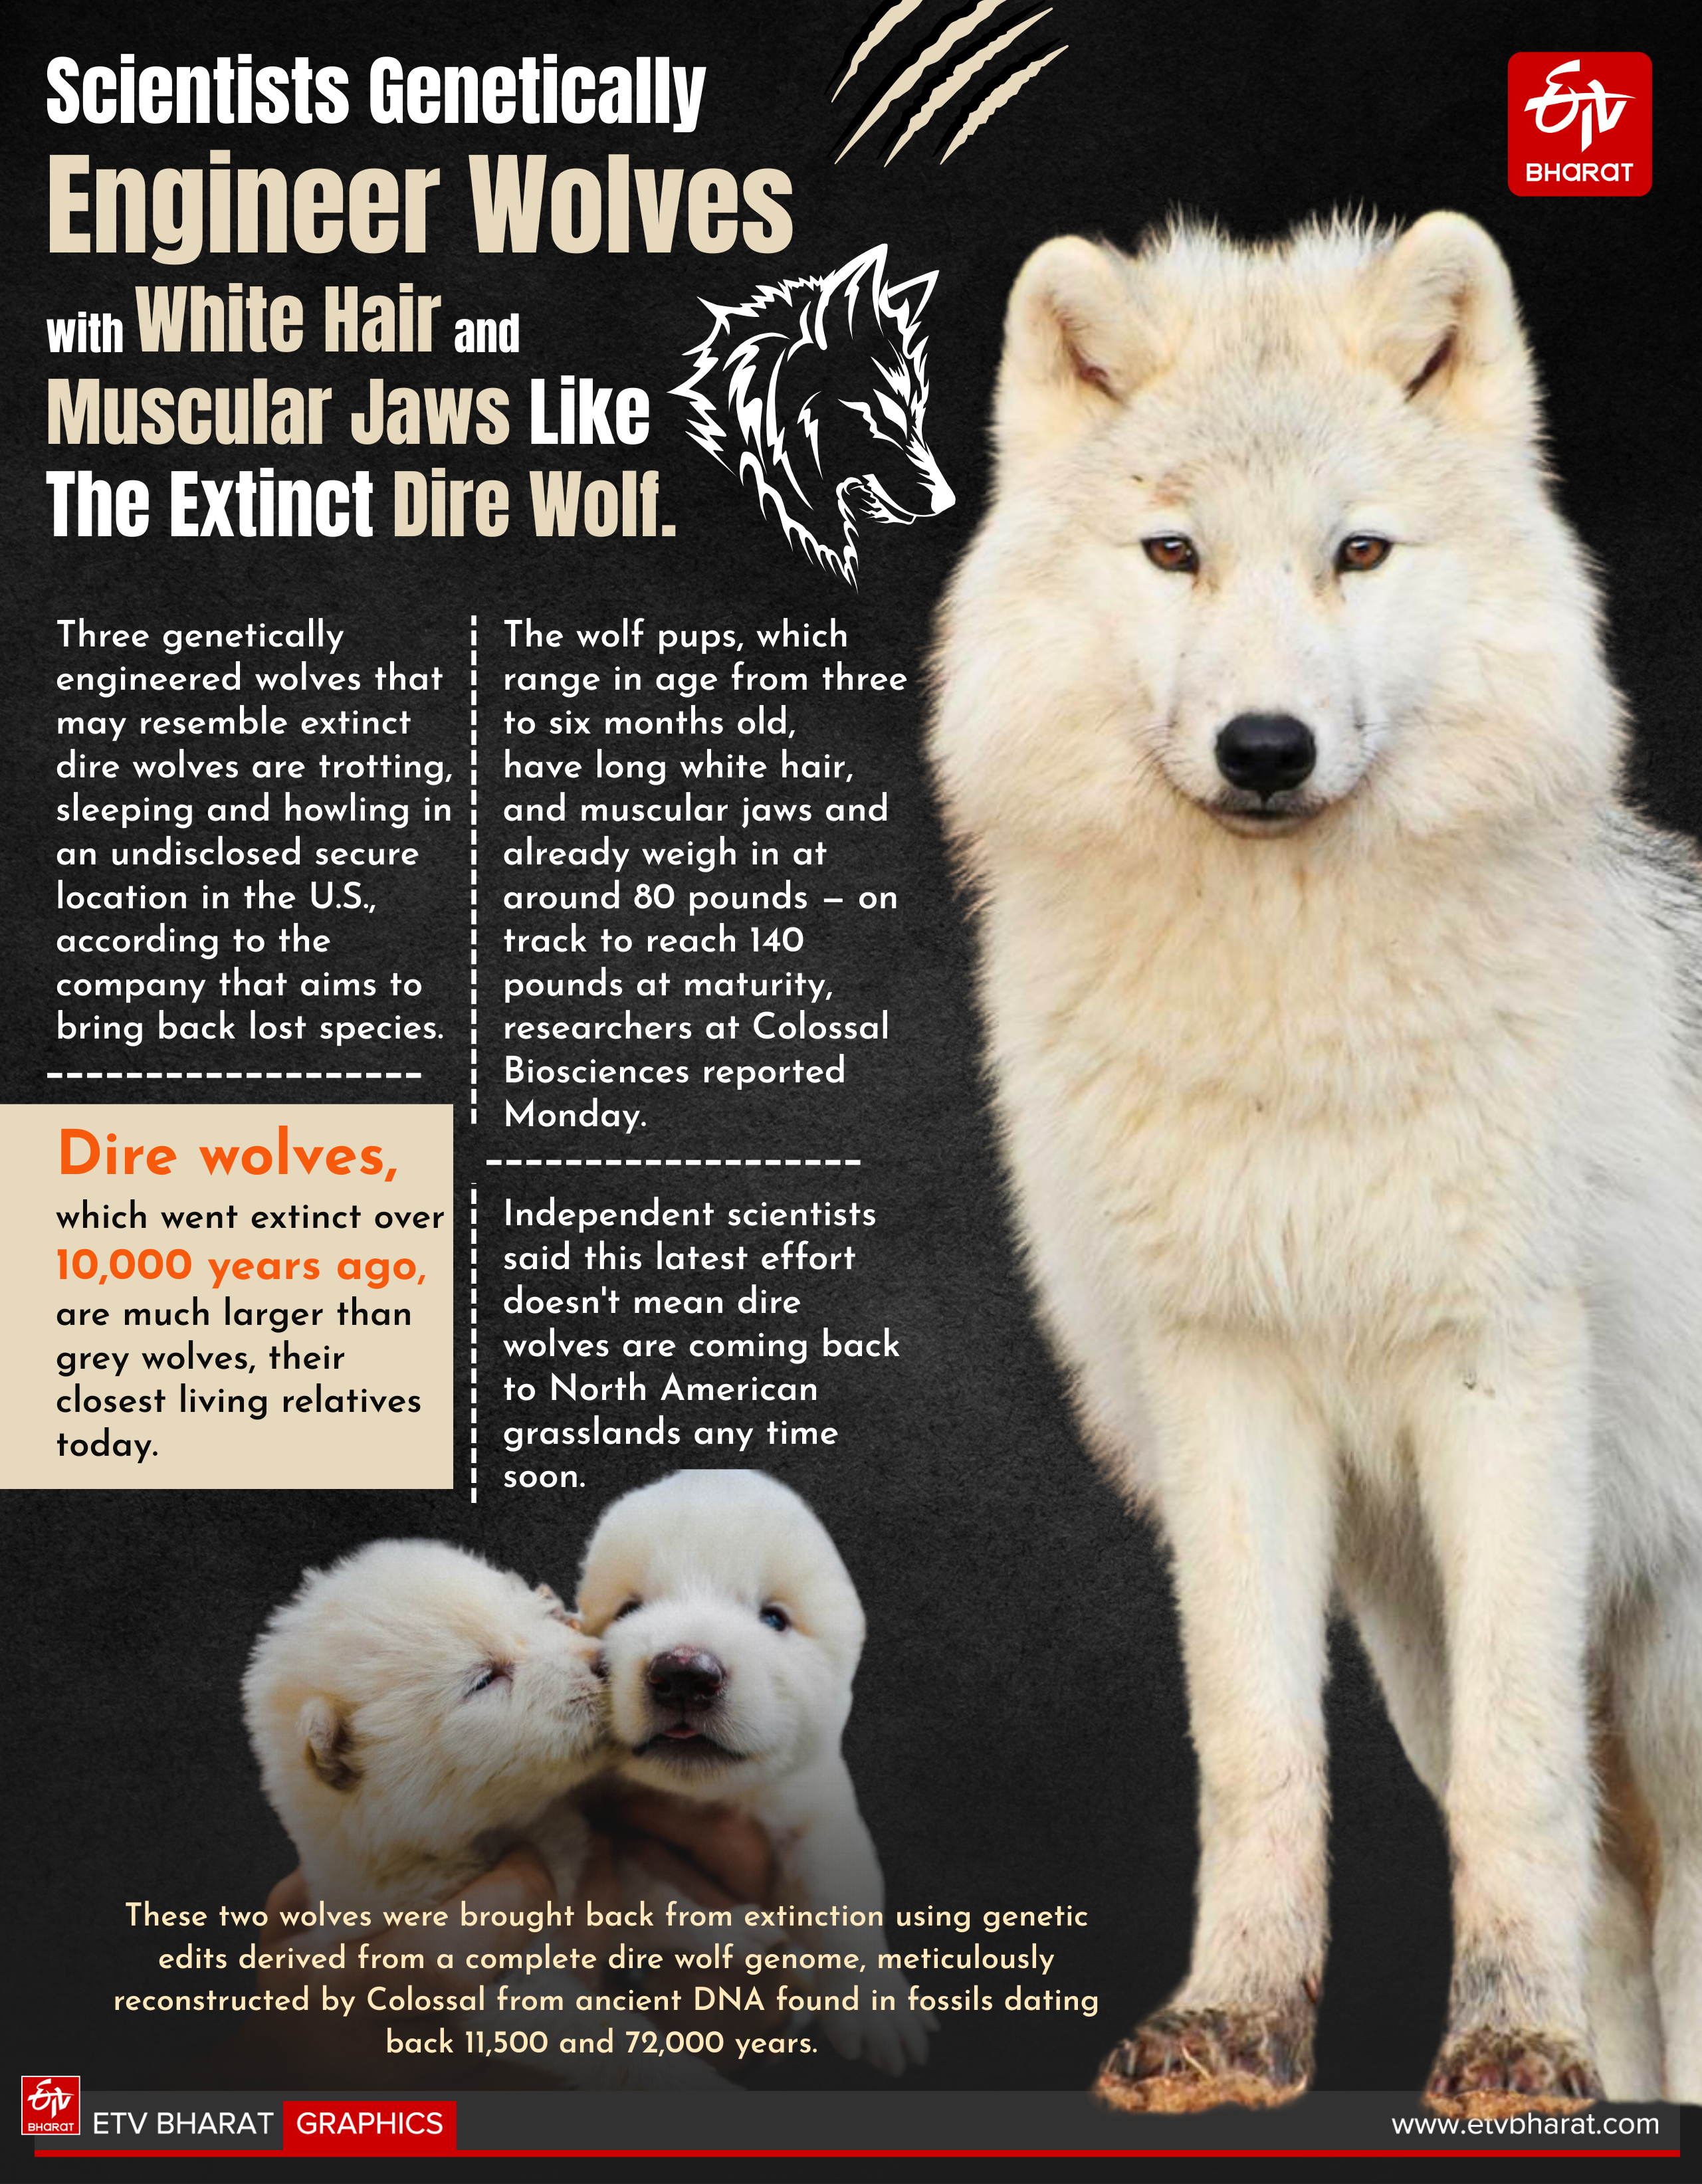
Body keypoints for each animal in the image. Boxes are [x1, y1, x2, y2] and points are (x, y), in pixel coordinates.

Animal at [929, 210, 1702, 2113]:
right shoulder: (1224, 1382)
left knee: (1667, 1895)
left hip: (1662, 1658)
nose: (1262, 748)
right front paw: (1234, 2024)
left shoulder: (1500, 1379)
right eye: (1171, 552)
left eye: (1356, 550)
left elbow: (1512, 1778)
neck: (1296, 1035)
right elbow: (1257, 1753)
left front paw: (1502, 2041)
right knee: (1613, 1894)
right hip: (1420, 1629)